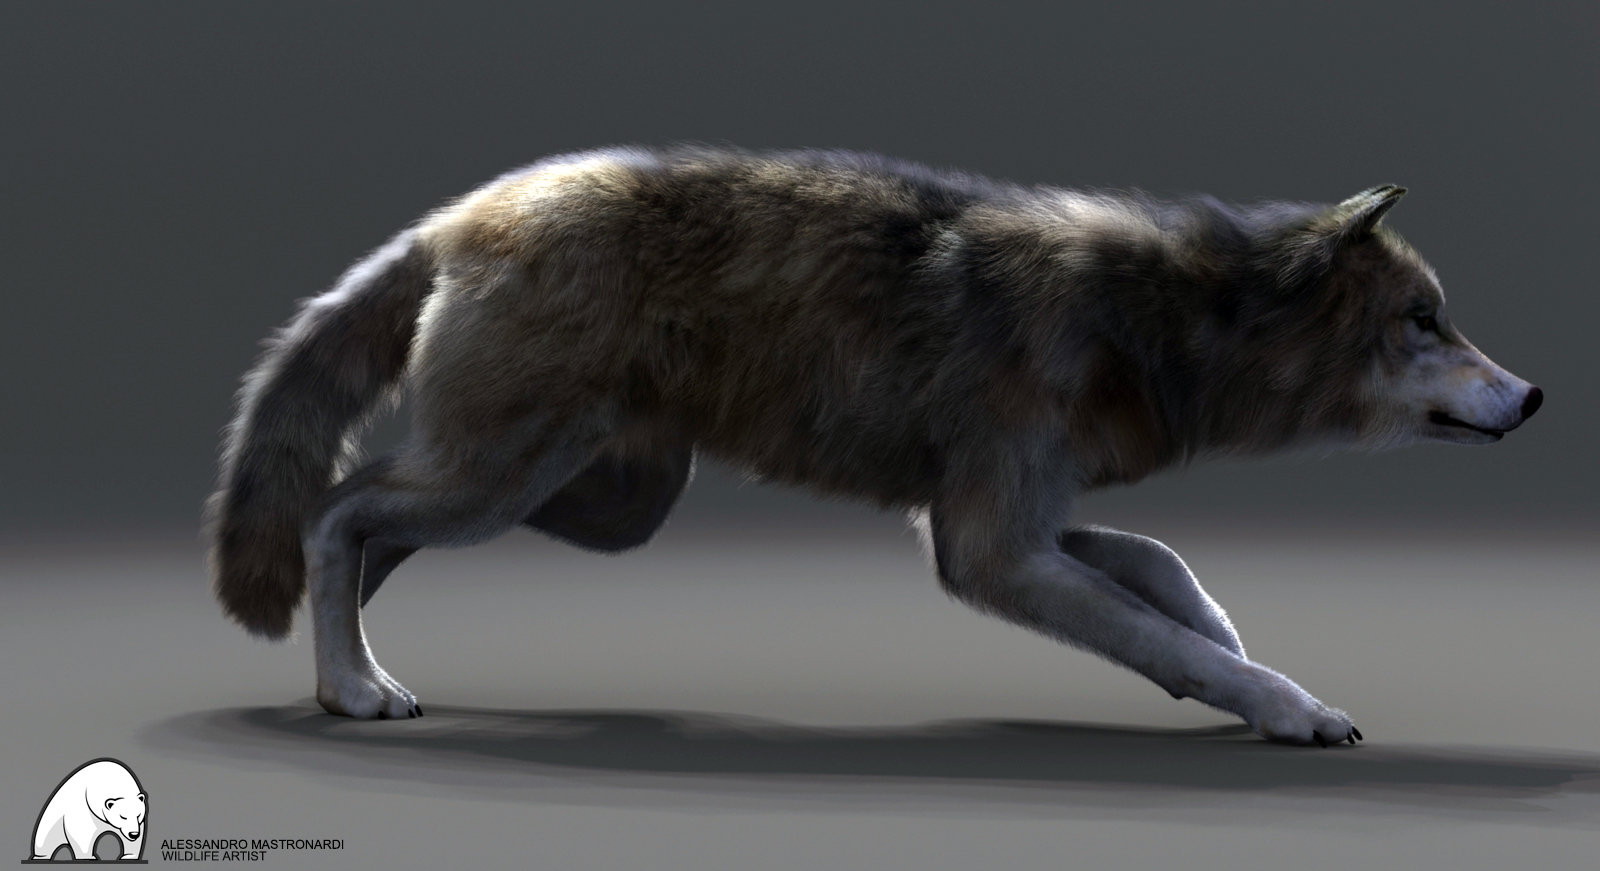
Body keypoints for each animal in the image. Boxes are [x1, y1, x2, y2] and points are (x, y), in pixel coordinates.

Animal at [206, 145, 1541, 745]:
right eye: (1423, 321)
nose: (1531, 397)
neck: (1146, 322)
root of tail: (459, 210)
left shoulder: (1000, 521)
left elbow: (1169, 578)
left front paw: (1245, 665)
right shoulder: (989, 549)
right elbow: (1163, 621)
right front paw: (1286, 708)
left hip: (600, 494)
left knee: (361, 520)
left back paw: (349, 668)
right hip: (511, 476)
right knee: (338, 508)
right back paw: (352, 687)